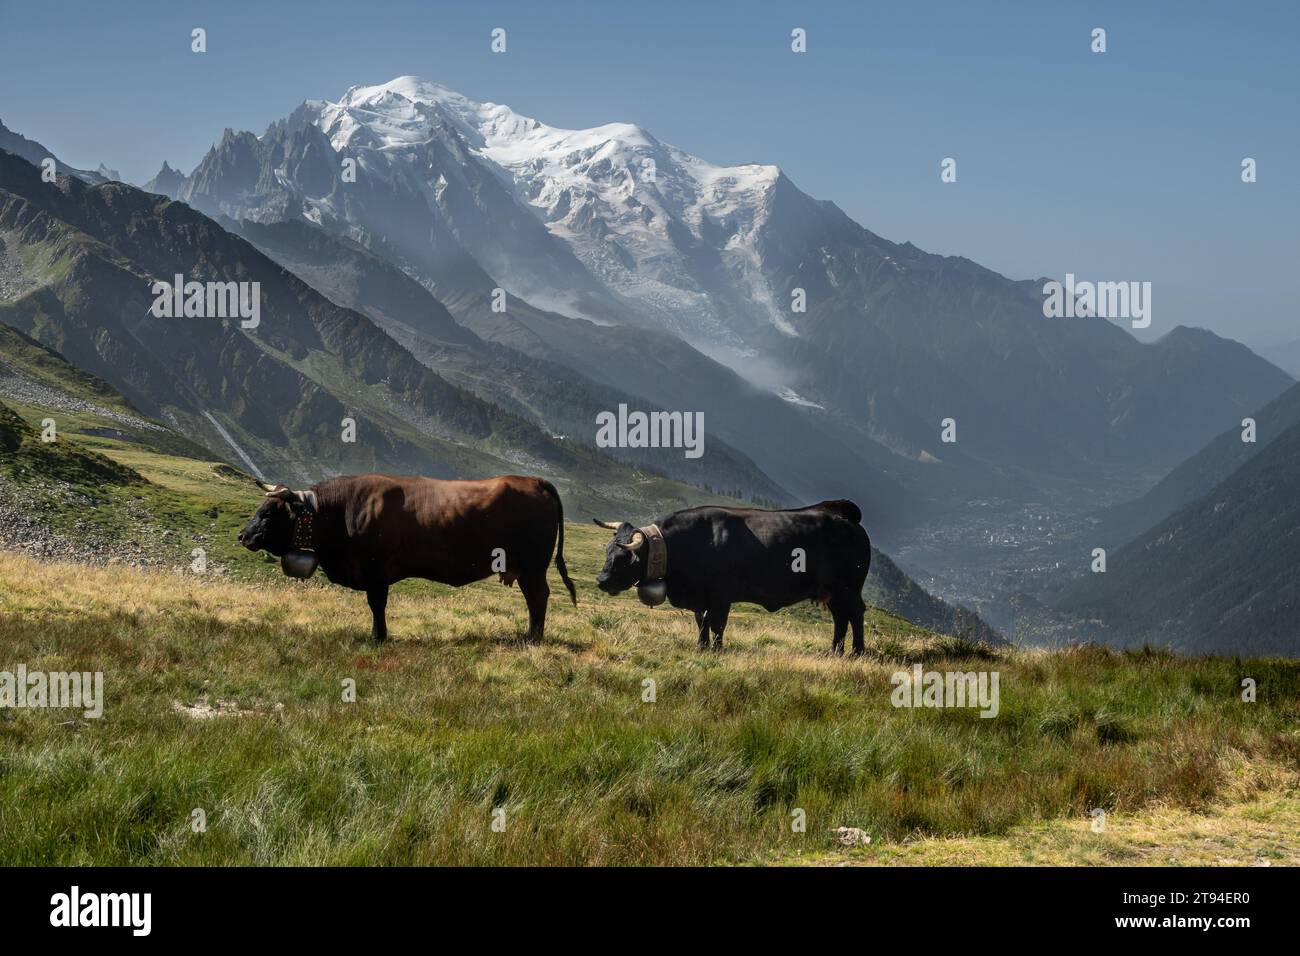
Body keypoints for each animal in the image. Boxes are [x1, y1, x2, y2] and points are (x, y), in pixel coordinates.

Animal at [237, 474, 577, 642]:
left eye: (268, 513)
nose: (243, 536)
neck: (340, 511)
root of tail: (534, 481)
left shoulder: (376, 571)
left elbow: (377, 605)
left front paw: (378, 636)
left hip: (533, 567)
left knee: (538, 597)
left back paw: (534, 637)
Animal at [594, 500, 872, 654]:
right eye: (607, 549)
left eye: (625, 557)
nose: (601, 580)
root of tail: (845, 517)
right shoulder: (702, 596)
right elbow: (701, 621)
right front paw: (702, 647)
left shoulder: (721, 595)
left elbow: (716, 624)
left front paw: (716, 649)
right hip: (832, 593)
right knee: (840, 619)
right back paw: (834, 651)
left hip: (849, 589)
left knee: (855, 616)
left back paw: (857, 652)